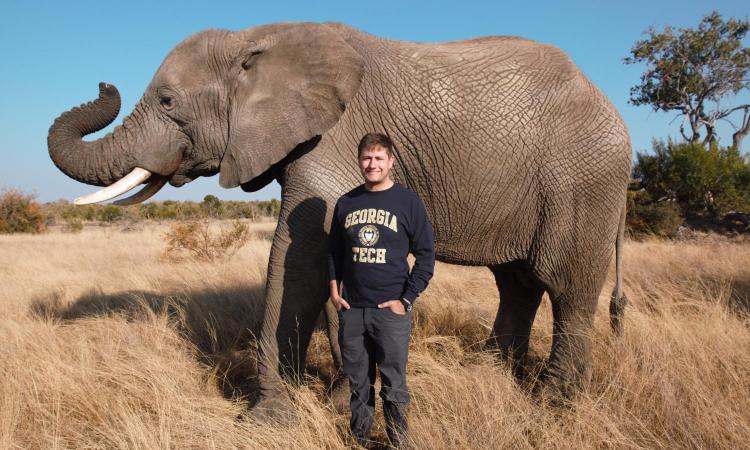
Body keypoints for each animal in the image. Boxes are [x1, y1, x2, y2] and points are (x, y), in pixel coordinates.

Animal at [47, 21, 631, 414]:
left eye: (168, 101)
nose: (103, 84)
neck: (253, 37)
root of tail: (611, 108)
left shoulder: (332, 139)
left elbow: (297, 256)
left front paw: (266, 420)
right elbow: (323, 265)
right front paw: (329, 401)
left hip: (583, 180)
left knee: (565, 286)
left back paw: (553, 403)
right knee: (516, 282)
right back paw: (488, 373)